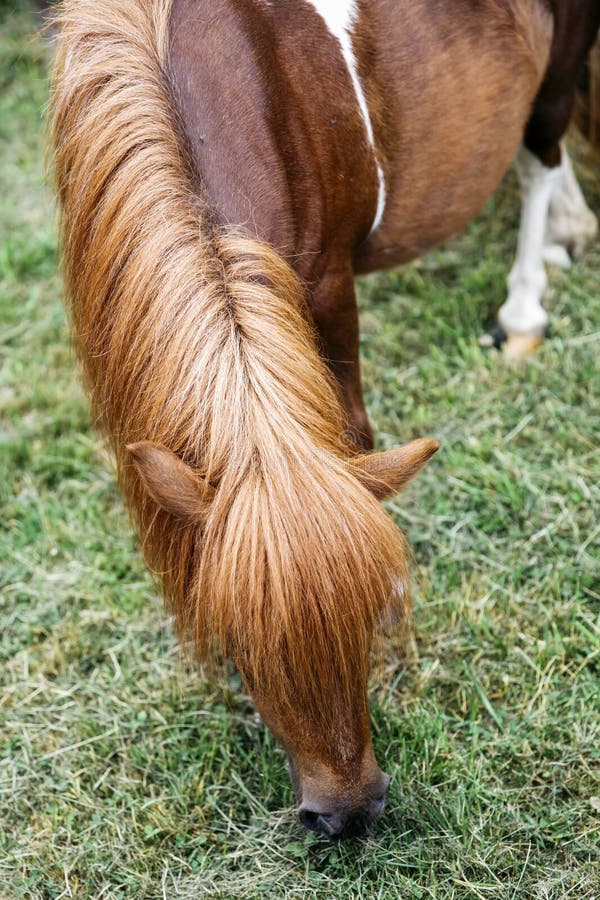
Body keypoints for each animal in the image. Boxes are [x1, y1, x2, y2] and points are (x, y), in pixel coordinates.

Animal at [50, 0, 599, 840]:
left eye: (370, 618)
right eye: (240, 645)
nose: (348, 813)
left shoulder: (328, 285)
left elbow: (354, 437)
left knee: (541, 146)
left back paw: (526, 305)